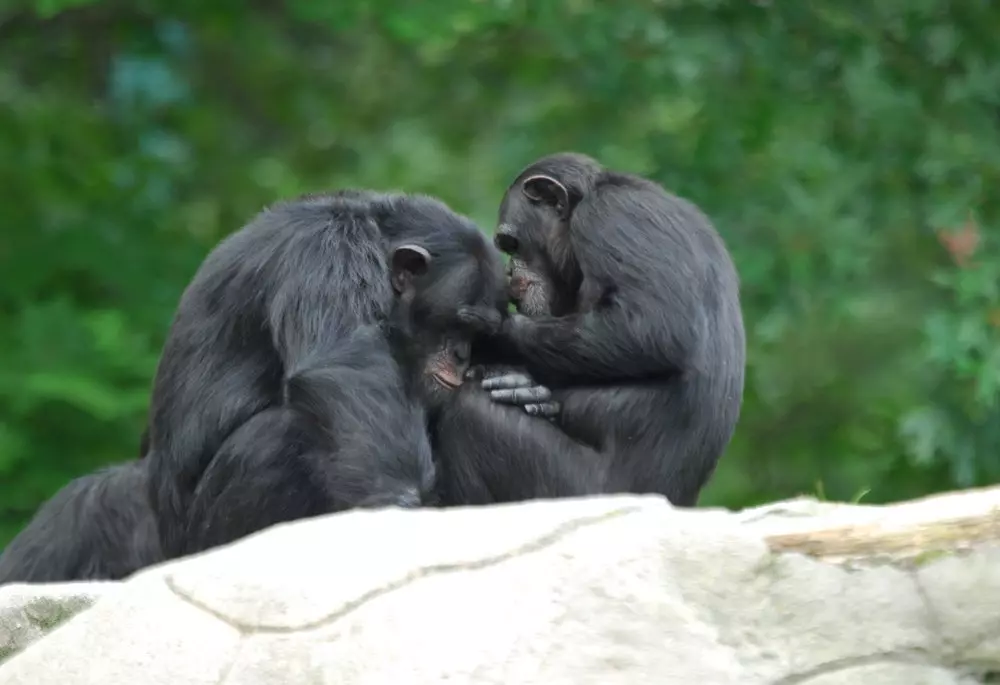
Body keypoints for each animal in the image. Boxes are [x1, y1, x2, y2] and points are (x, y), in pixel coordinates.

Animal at [146, 190, 508, 560]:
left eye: (479, 333)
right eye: (459, 322)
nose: (462, 354)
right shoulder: (326, 252)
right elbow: (345, 365)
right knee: (274, 439)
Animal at [434, 155, 748, 508]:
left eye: (510, 243)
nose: (510, 270)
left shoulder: (609, 217)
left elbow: (656, 327)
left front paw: (494, 333)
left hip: (577, 491)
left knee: (471, 412)